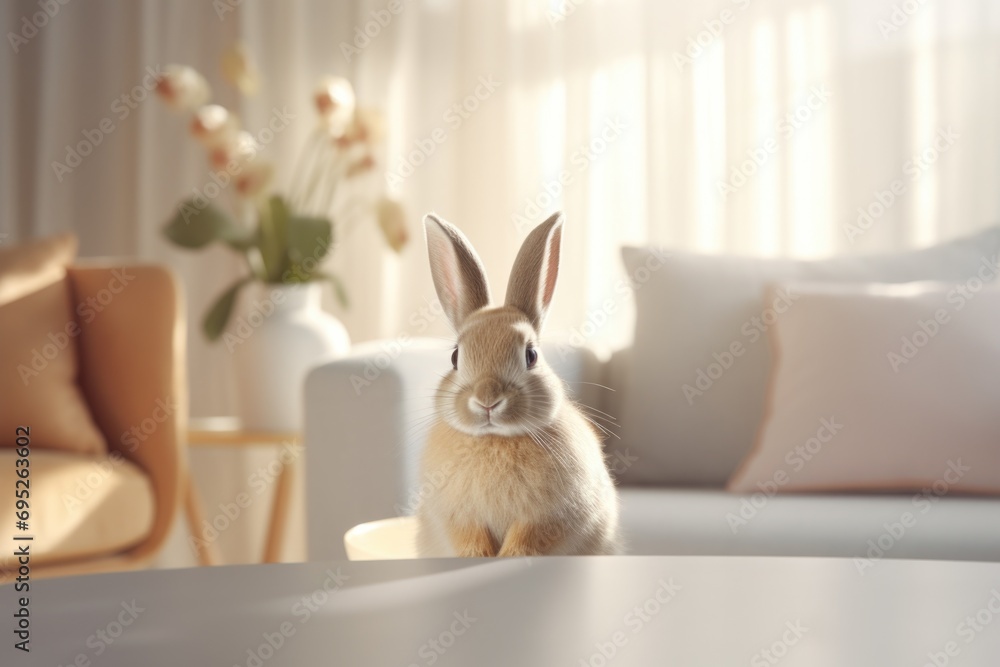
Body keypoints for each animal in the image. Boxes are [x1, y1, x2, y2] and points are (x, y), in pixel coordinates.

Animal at [415, 211, 622, 557]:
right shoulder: (456, 517)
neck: (495, 439)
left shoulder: (550, 516)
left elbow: (529, 537)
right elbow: (468, 536)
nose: (487, 400)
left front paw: (510, 557)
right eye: (456, 357)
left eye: (531, 355)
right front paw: (478, 557)